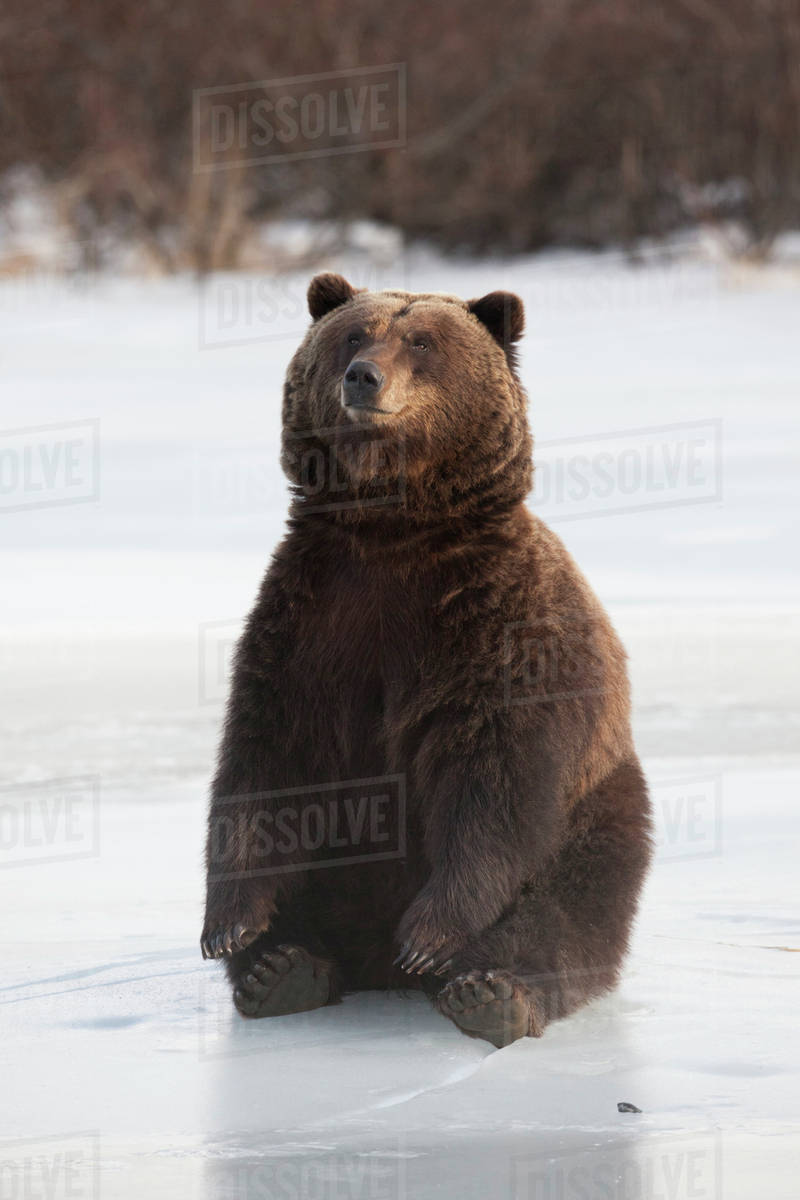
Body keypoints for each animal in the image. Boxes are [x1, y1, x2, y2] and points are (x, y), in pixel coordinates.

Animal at [200, 273, 653, 1048]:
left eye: (421, 341)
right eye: (354, 334)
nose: (363, 376)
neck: (392, 532)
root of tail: (371, 965)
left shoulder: (495, 626)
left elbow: (496, 780)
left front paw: (430, 936)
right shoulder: (311, 624)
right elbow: (266, 761)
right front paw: (232, 926)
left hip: (601, 806)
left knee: (567, 908)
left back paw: (490, 992)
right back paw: (281, 969)